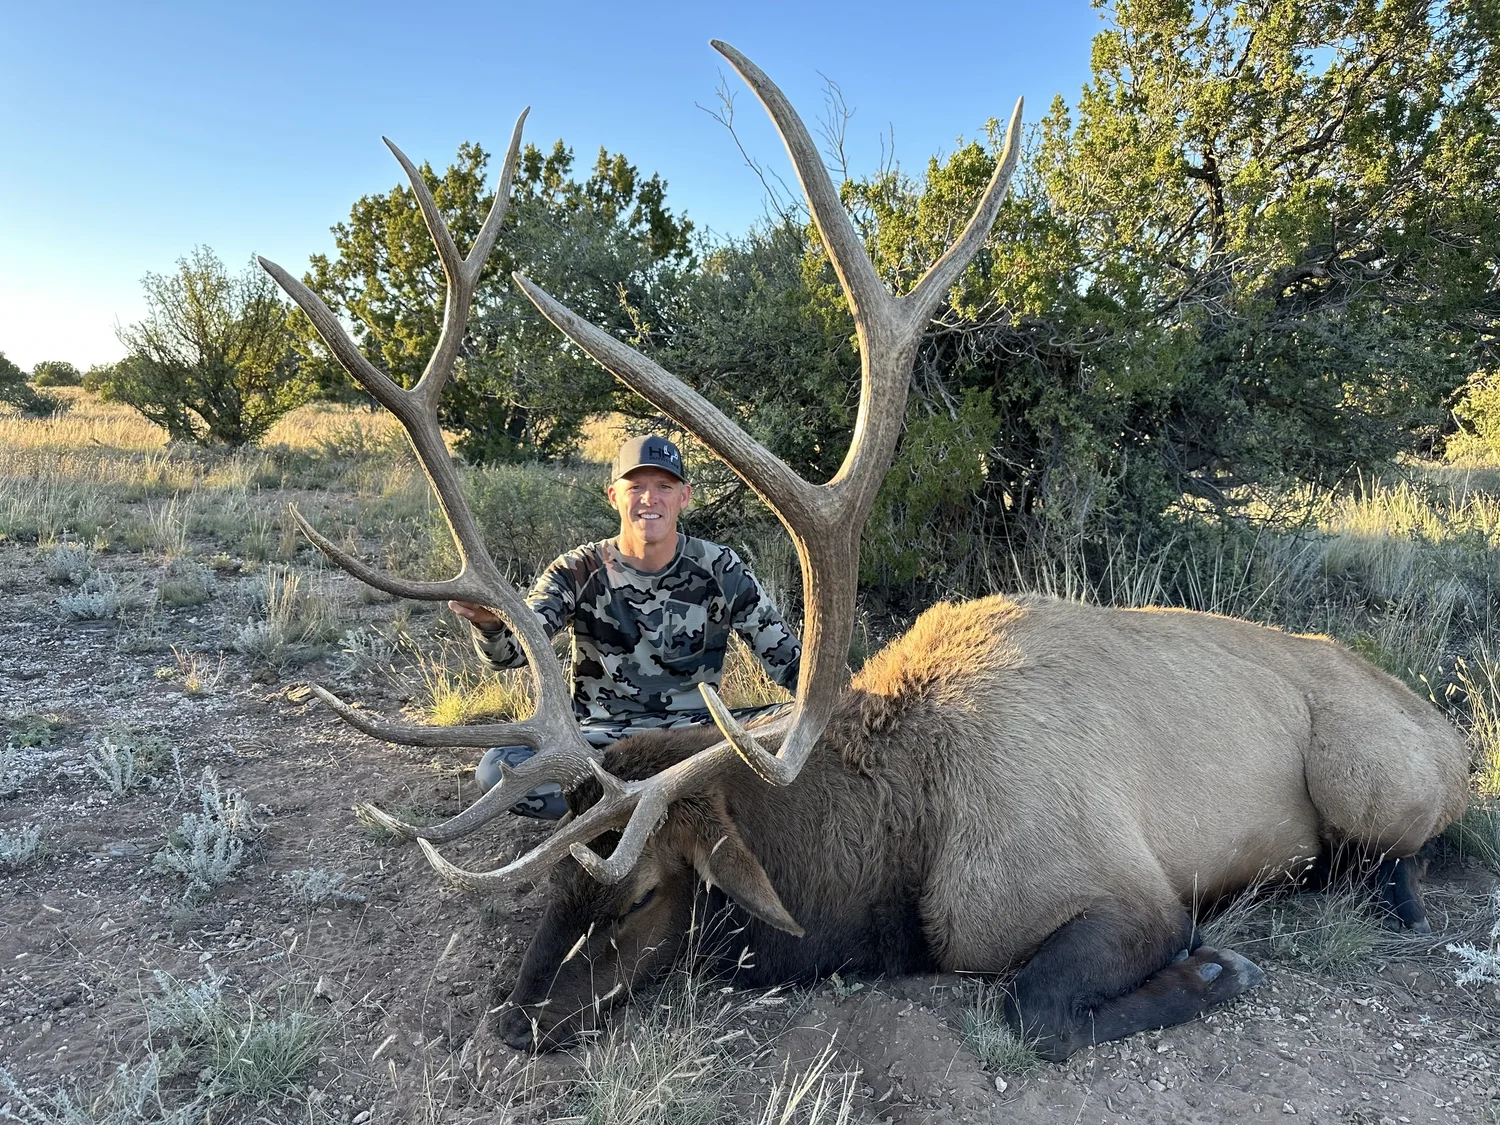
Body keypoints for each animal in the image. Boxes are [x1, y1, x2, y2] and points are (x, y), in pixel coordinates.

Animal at [256, 41, 1473, 1063]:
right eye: (551, 891)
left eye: (640, 894)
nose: (513, 1019)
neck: (895, 858)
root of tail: (1456, 732)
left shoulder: (1121, 890)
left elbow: (1035, 1010)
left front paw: (1222, 968)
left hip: (1368, 778)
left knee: (1401, 854)